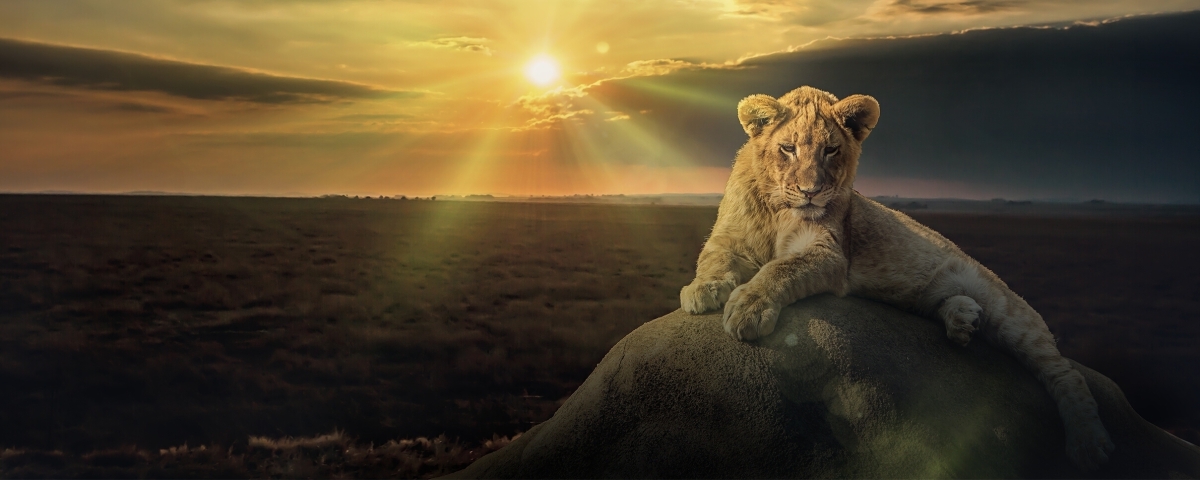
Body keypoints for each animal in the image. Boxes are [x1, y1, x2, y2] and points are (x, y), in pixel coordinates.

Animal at [680, 86, 1115, 470]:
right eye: (788, 149)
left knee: (1065, 373)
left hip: (1010, 310)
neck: (776, 209)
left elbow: (779, 268)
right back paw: (962, 320)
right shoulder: (727, 237)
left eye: (831, 150)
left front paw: (748, 307)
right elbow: (712, 259)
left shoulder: (830, 252)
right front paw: (702, 290)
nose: (810, 191)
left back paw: (1090, 444)